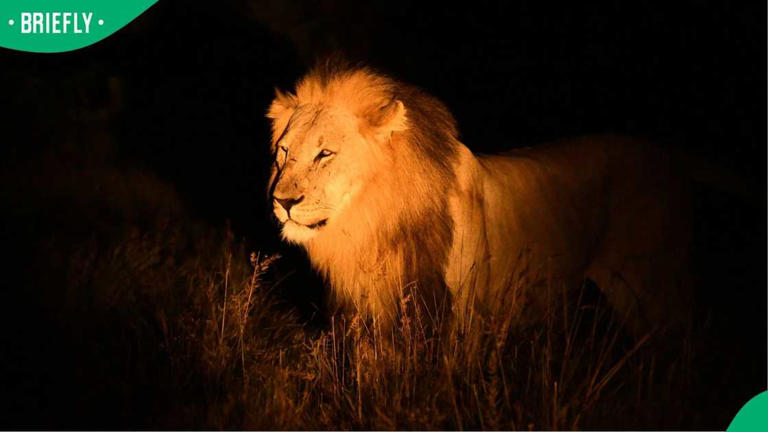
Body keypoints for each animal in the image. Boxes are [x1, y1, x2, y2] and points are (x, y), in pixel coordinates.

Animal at [266, 60, 693, 338]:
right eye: (284, 151)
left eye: (325, 154)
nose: (282, 201)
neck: (375, 226)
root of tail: (667, 155)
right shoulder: (369, 315)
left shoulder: (460, 320)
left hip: (650, 287)